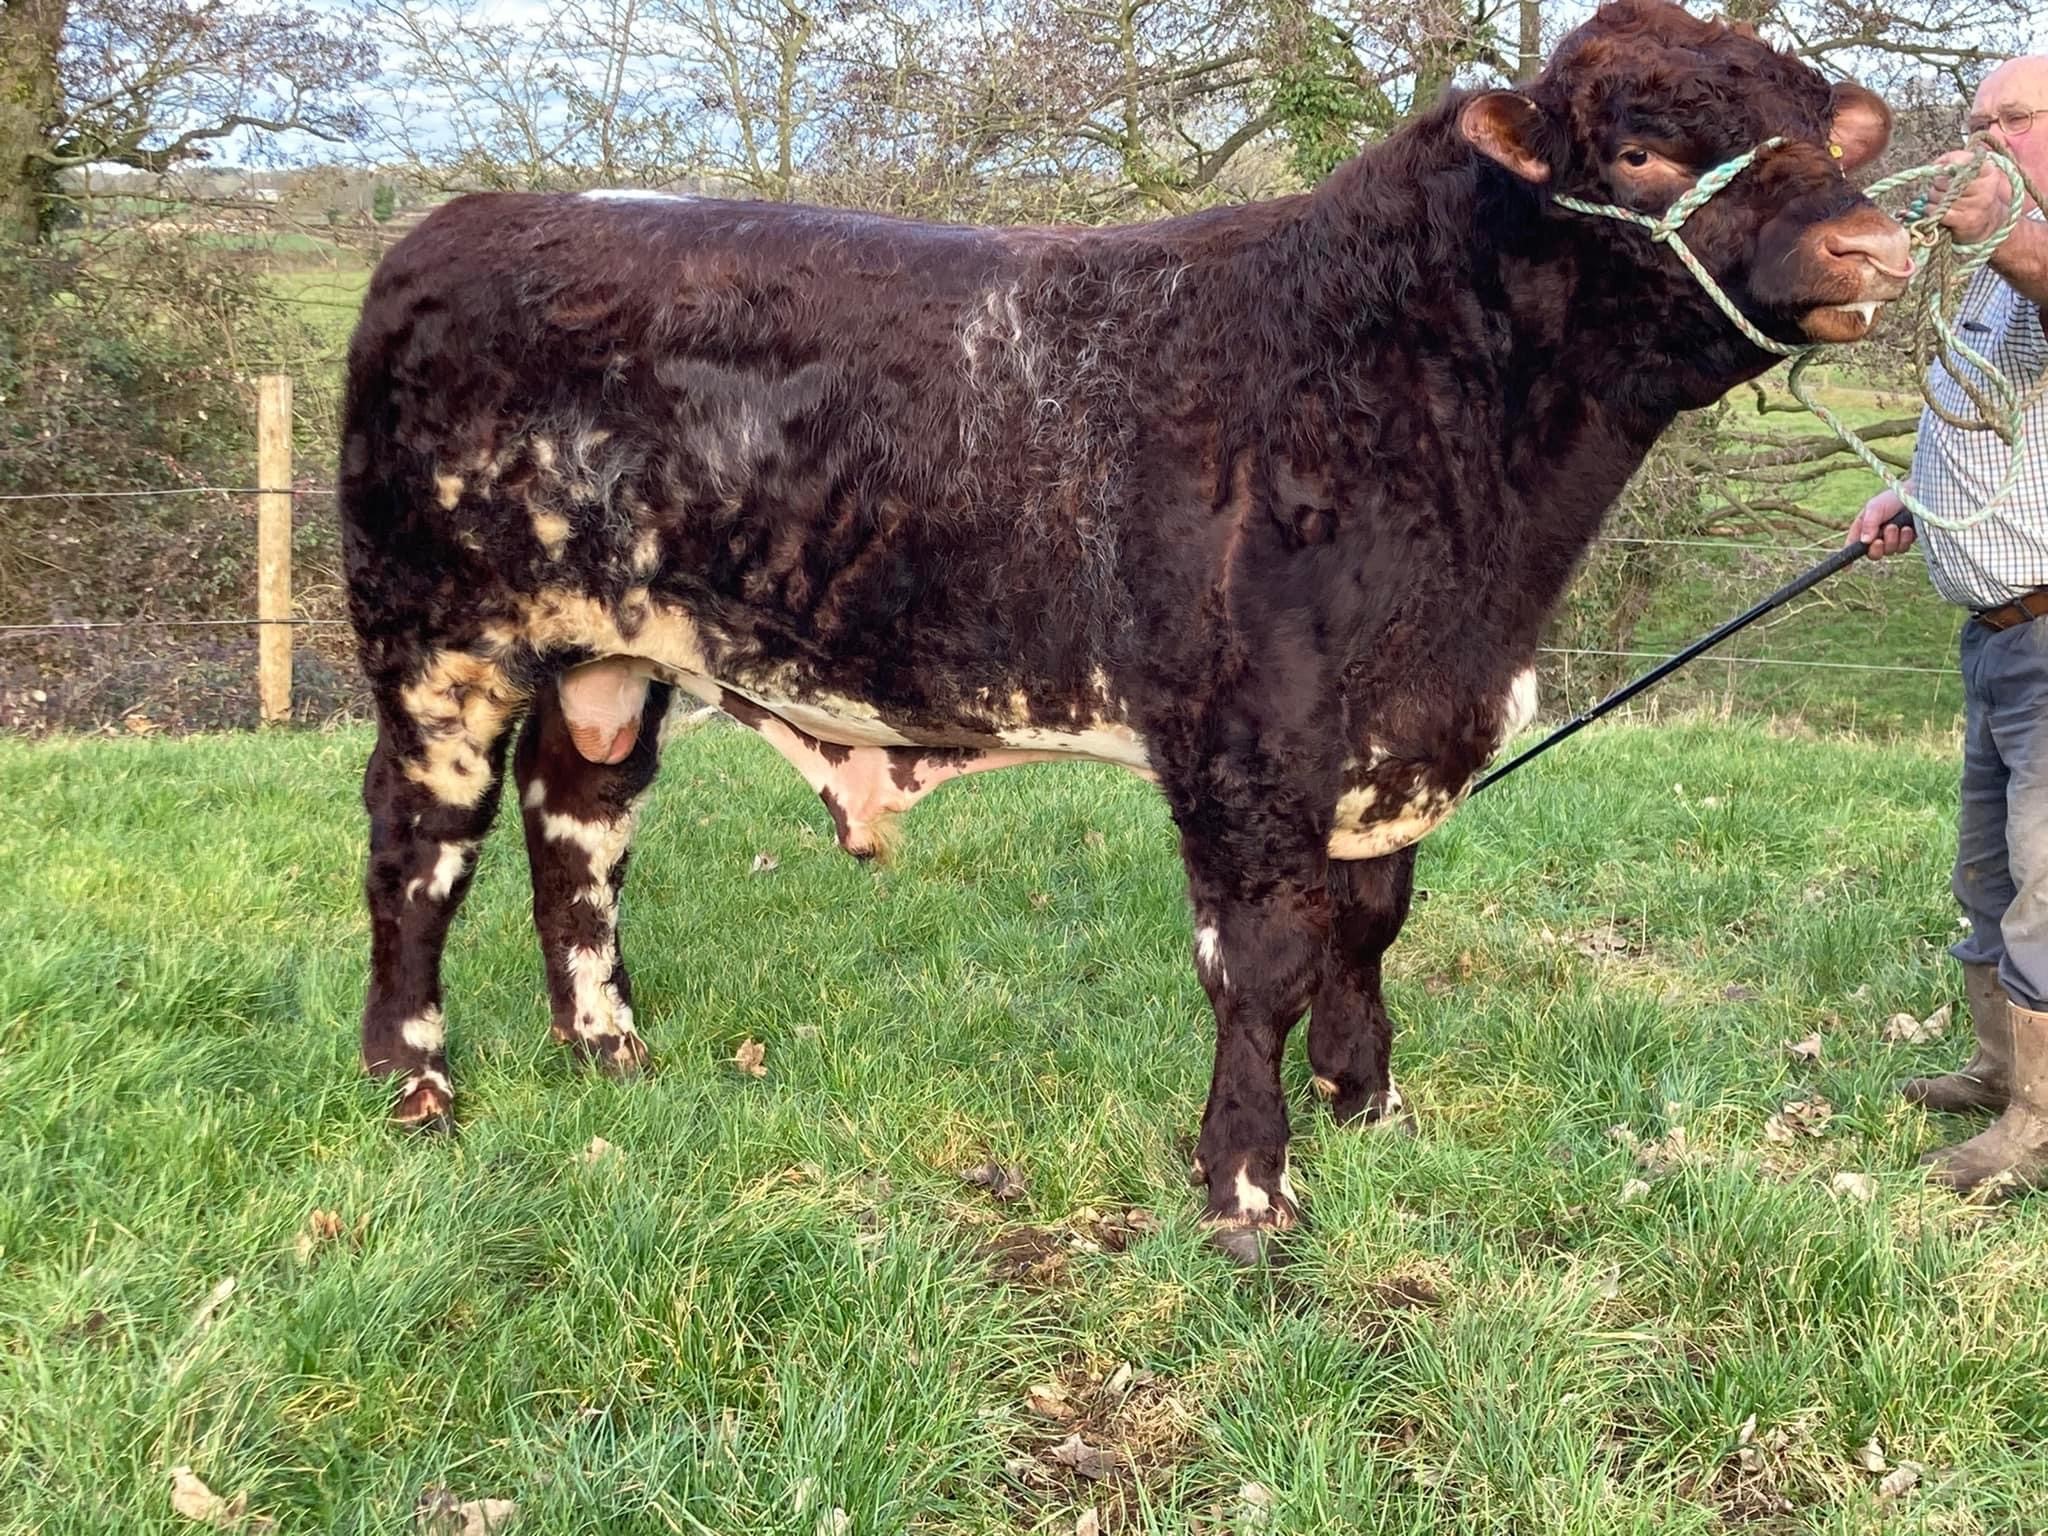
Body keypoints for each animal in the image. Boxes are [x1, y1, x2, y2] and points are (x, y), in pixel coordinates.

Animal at [336, 0, 1911, 1254]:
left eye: (1821, 129)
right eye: (1640, 152)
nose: (1876, 241)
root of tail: (462, 219)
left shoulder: (1395, 735)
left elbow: (1369, 929)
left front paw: (1370, 1105)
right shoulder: (1246, 740)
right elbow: (1263, 965)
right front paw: (1250, 1193)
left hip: (609, 649)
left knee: (579, 823)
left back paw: (607, 1048)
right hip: (442, 639)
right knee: (422, 847)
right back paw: (413, 1082)